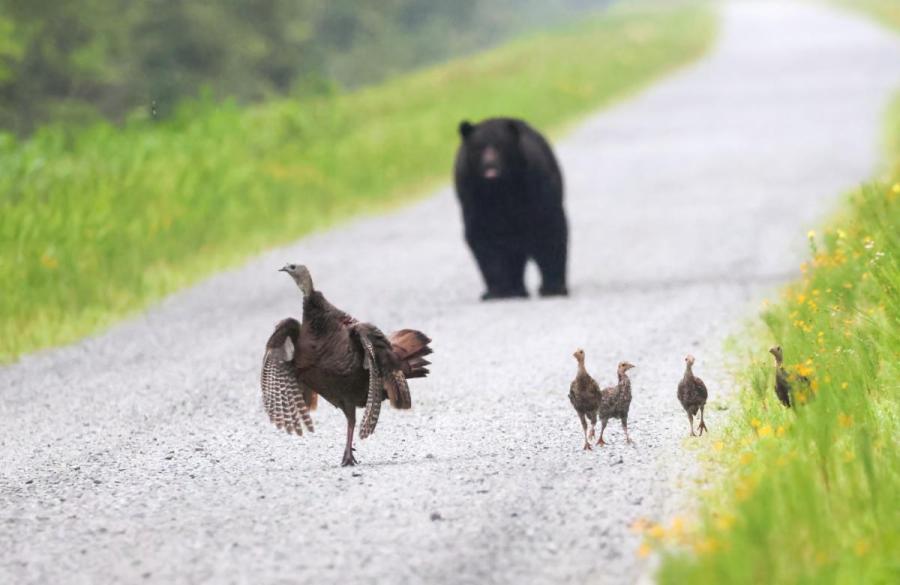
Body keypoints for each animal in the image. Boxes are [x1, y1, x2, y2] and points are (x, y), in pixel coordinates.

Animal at [453, 117, 568, 300]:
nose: (490, 164)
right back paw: (513, 290)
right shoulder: (473, 196)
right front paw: (498, 291)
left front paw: (553, 288)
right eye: (479, 146)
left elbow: (548, 230)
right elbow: (484, 237)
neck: (501, 188)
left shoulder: (536, 184)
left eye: (500, 145)